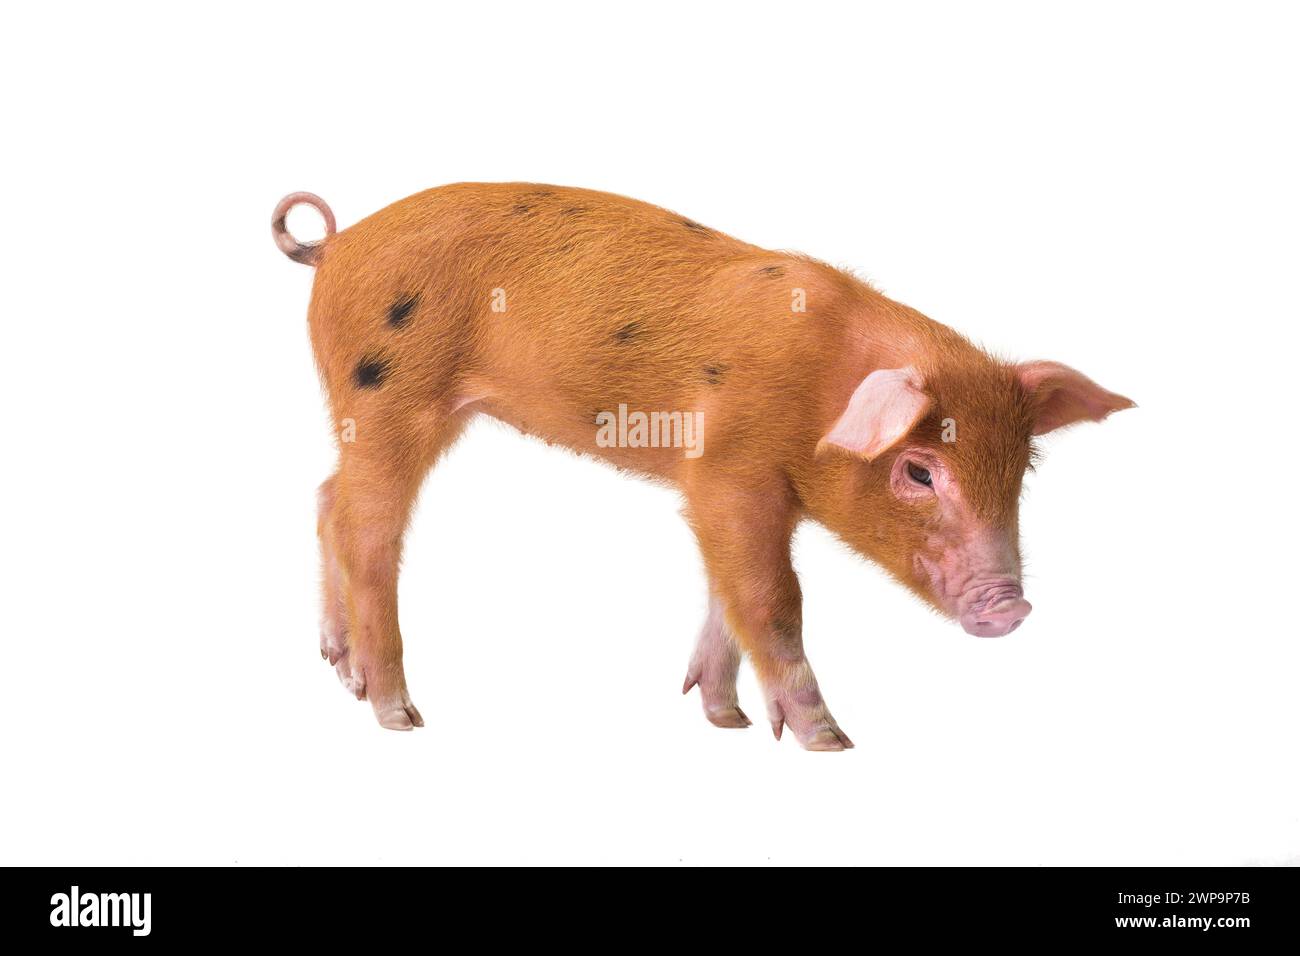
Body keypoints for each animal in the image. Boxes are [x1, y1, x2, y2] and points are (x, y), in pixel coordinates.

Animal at [272, 183, 1134, 749]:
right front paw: (829, 742)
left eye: (1022, 470)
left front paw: (727, 720)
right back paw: (400, 716)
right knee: (369, 534)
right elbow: (773, 597)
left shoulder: (748, 495)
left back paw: (339, 667)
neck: (819, 391)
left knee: (326, 500)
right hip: (389, 393)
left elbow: (728, 591)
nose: (1012, 609)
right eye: (919, 471)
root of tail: (336, 245)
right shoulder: (728, 473)